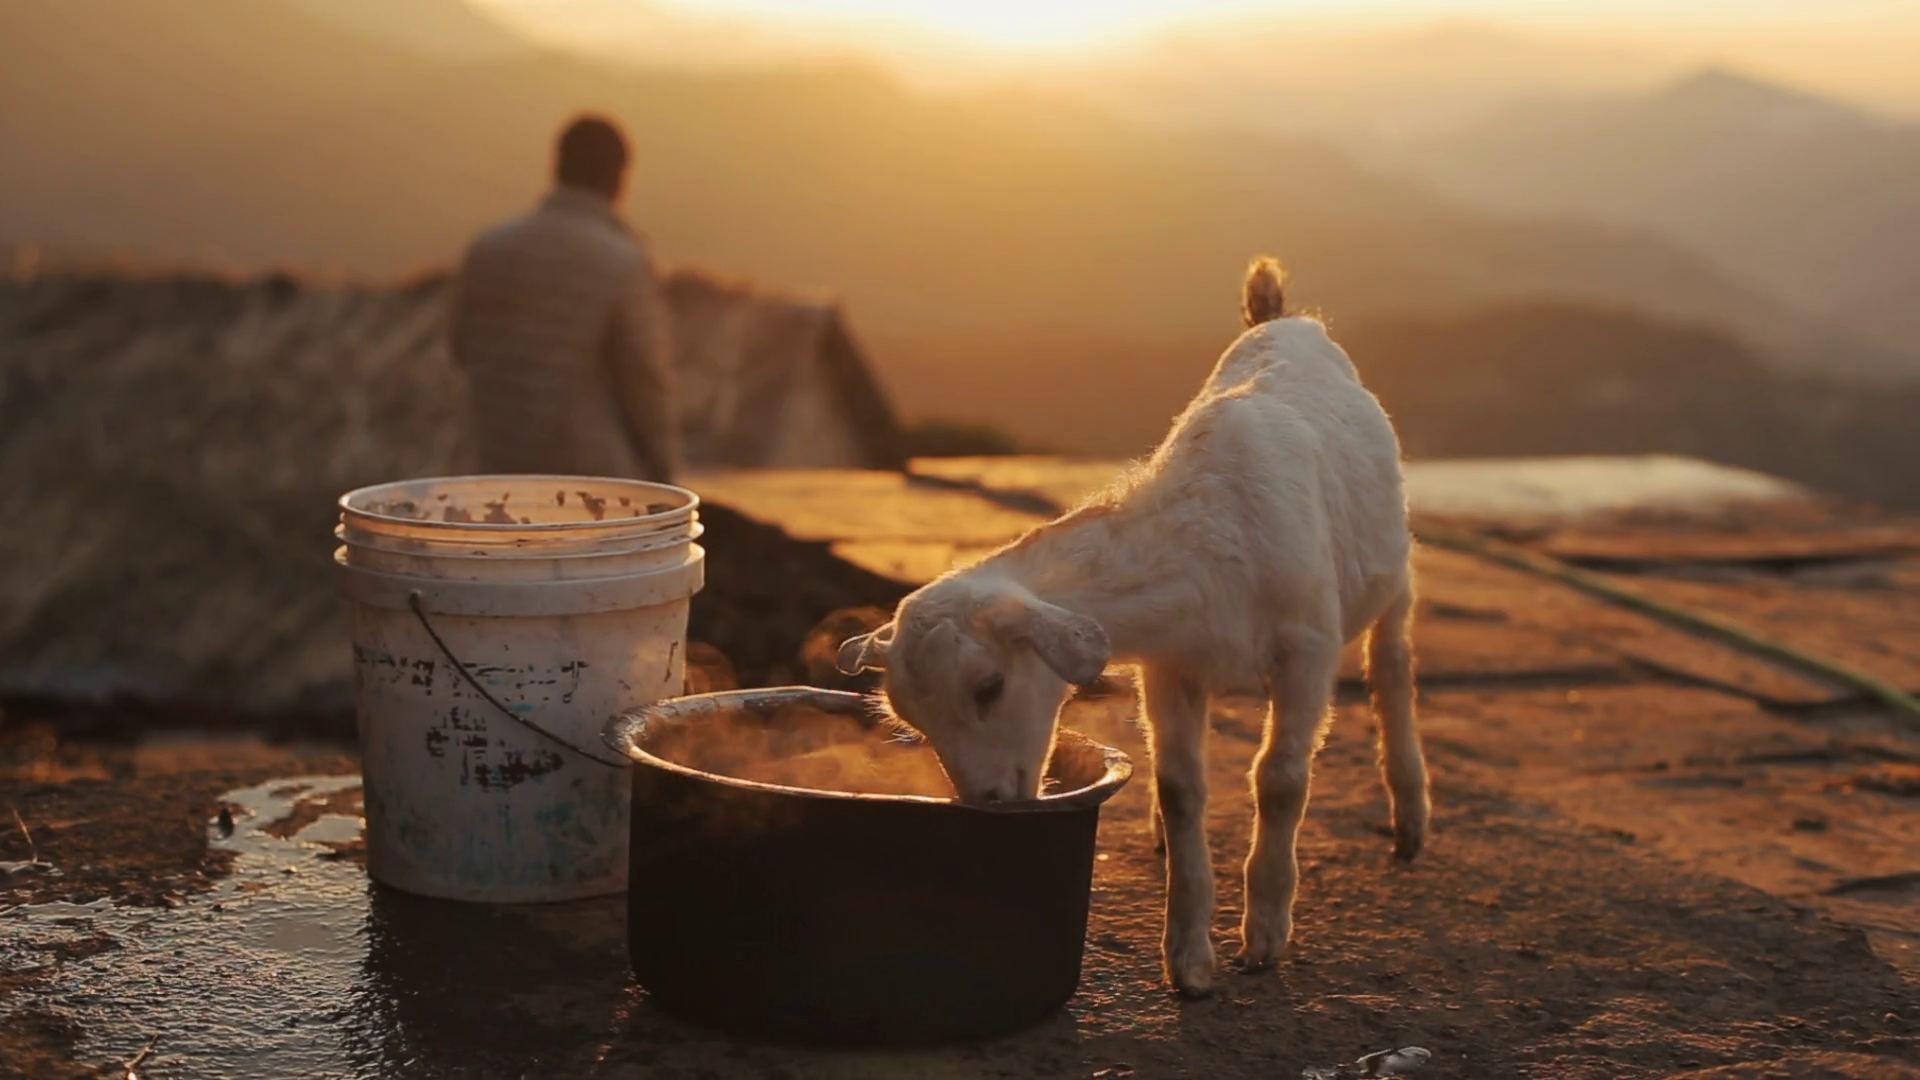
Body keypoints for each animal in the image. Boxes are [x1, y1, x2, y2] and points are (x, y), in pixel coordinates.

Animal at [838, 256, 1428, 995]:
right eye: (913, 723)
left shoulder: (1306, 649)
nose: (987, 802)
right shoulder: (1170, 667)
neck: (1207, 535)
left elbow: (1281, 778)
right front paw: (1189, 962)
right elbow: (1179, 789)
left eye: (989, 686)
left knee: (1392, 665)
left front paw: (1264, 935)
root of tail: (1283, 317)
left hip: (1392, 570)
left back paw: (1409, 818)